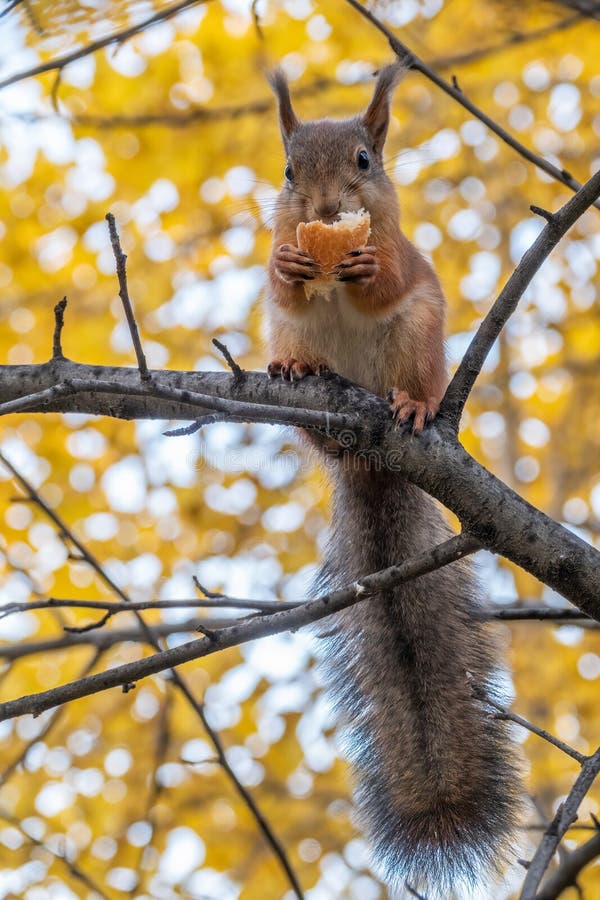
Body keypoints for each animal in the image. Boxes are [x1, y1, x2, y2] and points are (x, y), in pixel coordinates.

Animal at [264, 64, 521, 896]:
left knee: (411, 367)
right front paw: (288, 265)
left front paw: (368, 267)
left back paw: (409, 407)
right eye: (288, 172)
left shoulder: (405, 255)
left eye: (364, 161)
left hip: (418, 344)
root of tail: (371, 463)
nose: (323, 210)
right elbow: (280, 281)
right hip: (291, 342)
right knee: (294, 346)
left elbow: (387, 277)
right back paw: (298, 377)